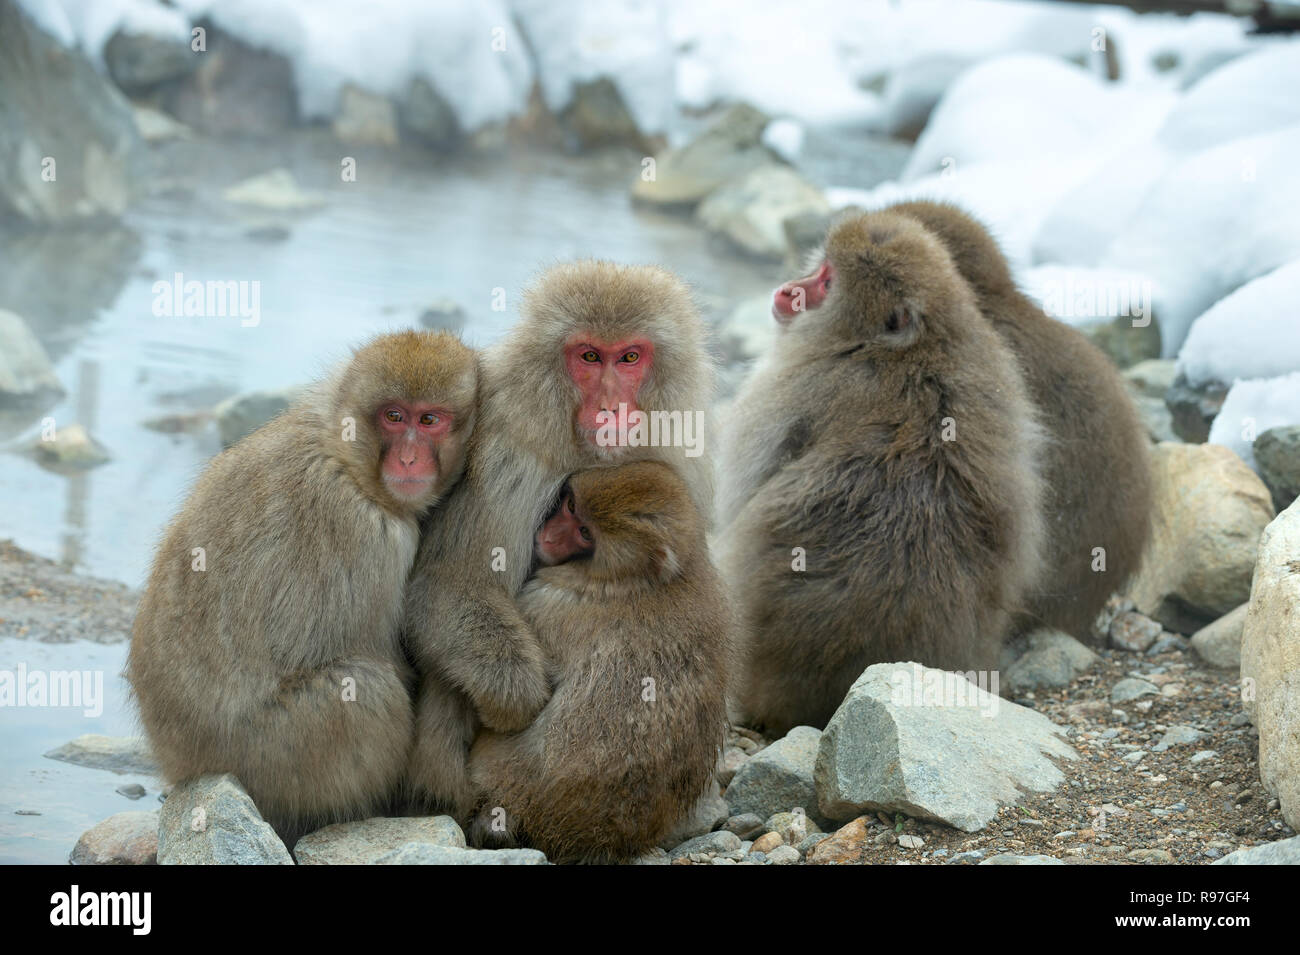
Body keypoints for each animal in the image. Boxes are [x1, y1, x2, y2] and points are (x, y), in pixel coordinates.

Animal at [126, 331, 478, 842]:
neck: (344, 456)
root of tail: (178, 761)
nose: (409, 458)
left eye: (429, 420)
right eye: (394, 417)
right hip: (267, 756)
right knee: (366, 690)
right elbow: (380, 656)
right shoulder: (372, 535)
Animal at [401, 261, 716, 818]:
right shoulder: (507, 455)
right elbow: (450, 585)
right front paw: (517, 702)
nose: (611, 407)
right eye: (589, 357)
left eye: (629, 357)